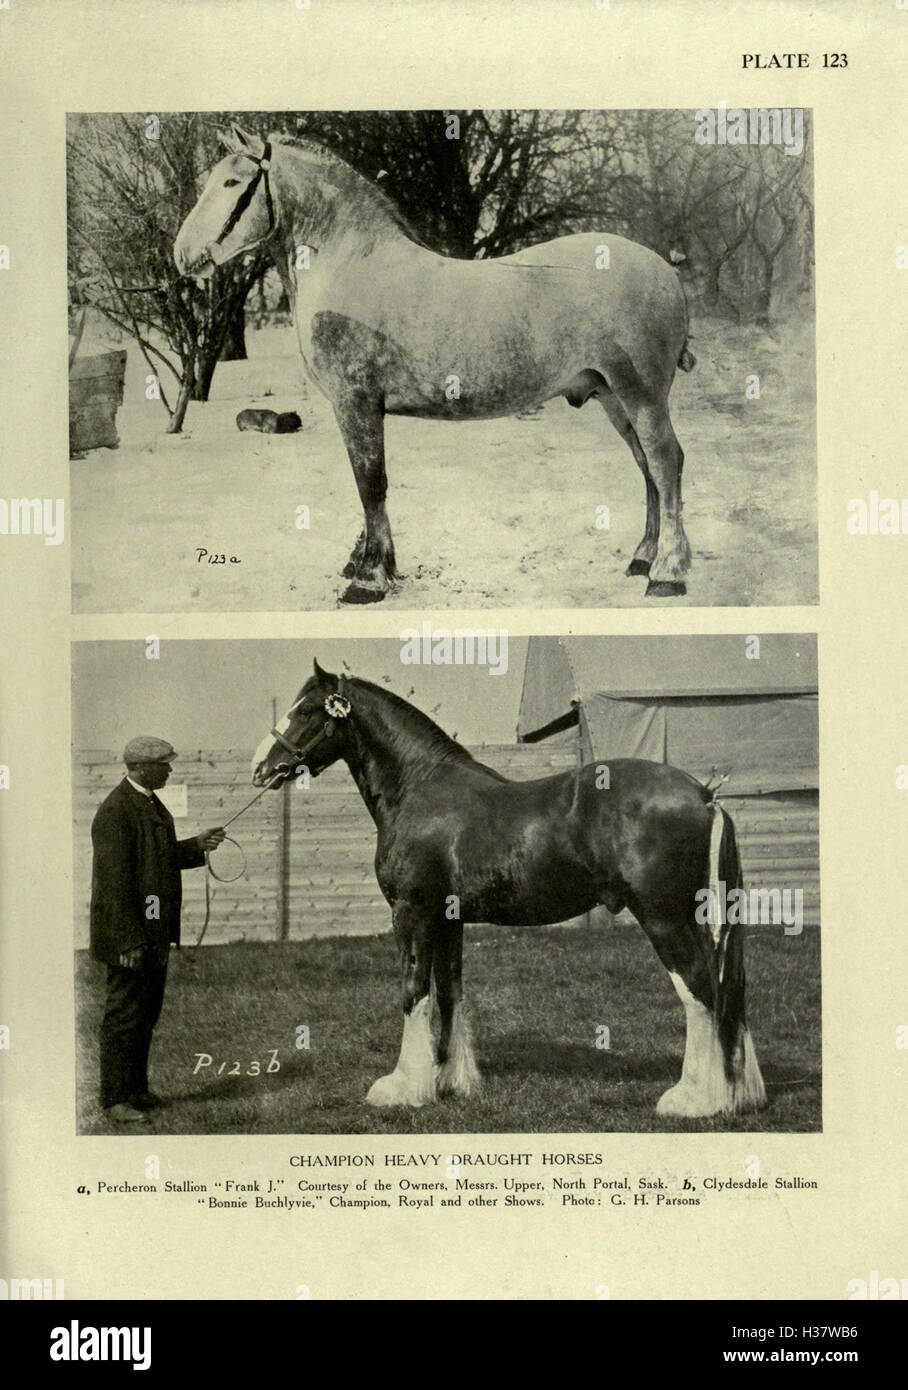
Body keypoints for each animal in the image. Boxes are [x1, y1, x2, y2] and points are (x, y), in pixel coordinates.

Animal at [174, 125, 696, 605]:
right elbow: (371, 485)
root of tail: (665, 268)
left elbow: (370, 484)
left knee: (665, 461)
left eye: (232, 182)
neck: (348, 265)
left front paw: (369, 579)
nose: (182, 255)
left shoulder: (356, 403)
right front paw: (369, 563)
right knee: (647, 467)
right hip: (612, 396)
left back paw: (667, 573)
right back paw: (643, 557)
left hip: (641, 394)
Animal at [250, 661, 767, 1120]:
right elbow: (448, 993)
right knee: (724, 990)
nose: (261, 768)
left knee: (700, 991)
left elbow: (413, 992)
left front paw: (403, 1087)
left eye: (307, 710)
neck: (419, 788)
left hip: (665, 919)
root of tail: (704, 794)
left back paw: (695, 1098)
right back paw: (734, 1093)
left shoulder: (411, 912)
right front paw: (449, 1081)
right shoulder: (448, 920)